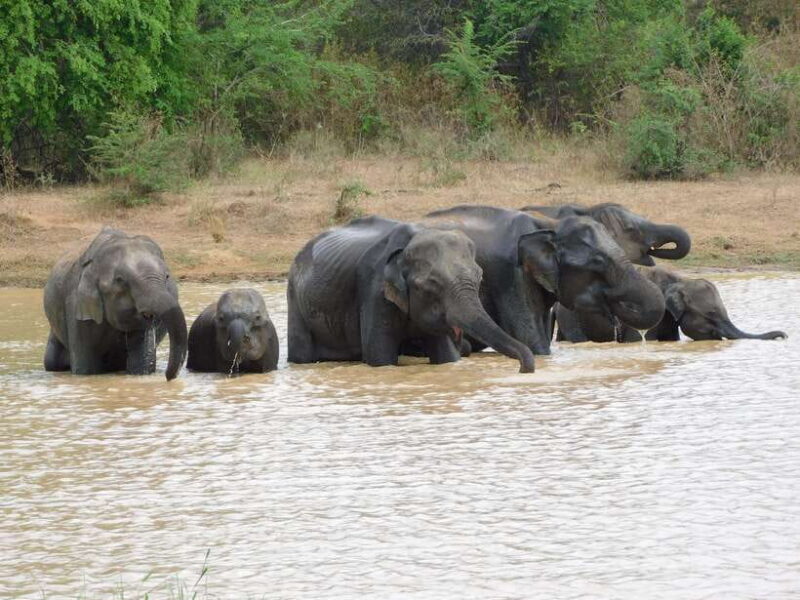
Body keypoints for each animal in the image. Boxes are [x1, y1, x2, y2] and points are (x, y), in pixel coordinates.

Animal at [43, 227, 188, 380]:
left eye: (167, 277)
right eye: (120, 280)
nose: (168, 377)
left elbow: (140, 362)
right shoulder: (75, 302)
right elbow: (86, 367)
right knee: (52, 362)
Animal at [287, 216, 536, 372]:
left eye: (479, 277)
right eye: (432, 284)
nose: (523, 369)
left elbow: (446, 356)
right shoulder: (373, 288)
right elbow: (380, 356)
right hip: (294, 299)